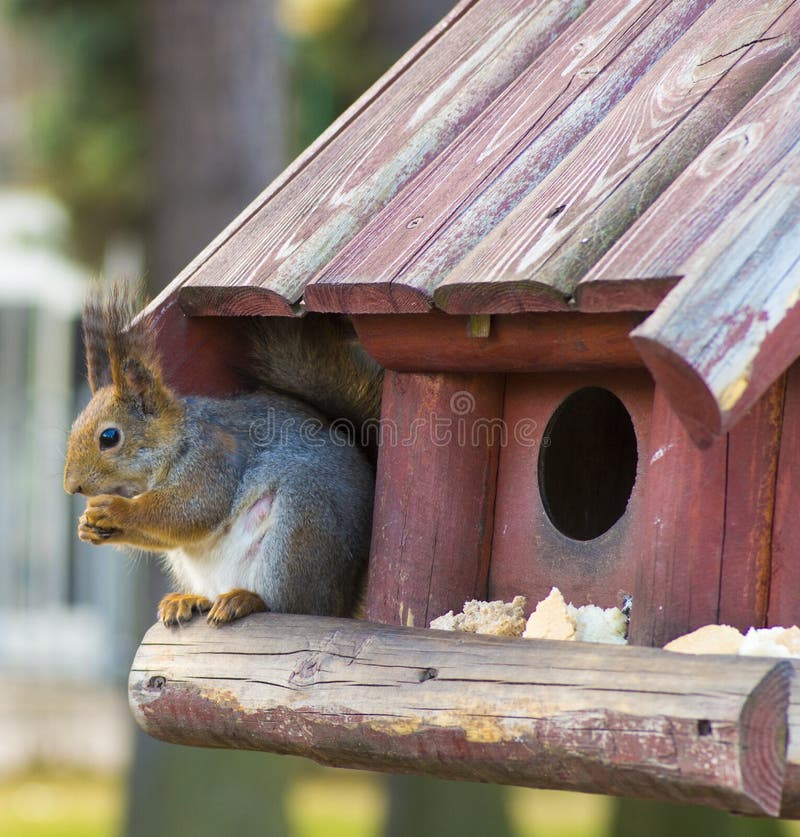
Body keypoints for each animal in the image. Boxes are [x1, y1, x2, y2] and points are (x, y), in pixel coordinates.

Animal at [63, 282, 382, 626]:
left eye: (109, 437)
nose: (72, 487)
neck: (177, 440)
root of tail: (343, 602)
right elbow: (166, 534)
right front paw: (87, 525)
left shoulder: (212, 461)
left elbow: (184, 512)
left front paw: (116, 509)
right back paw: (188, 599)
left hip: (301, 528)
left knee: (295, 605)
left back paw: (247, 600)